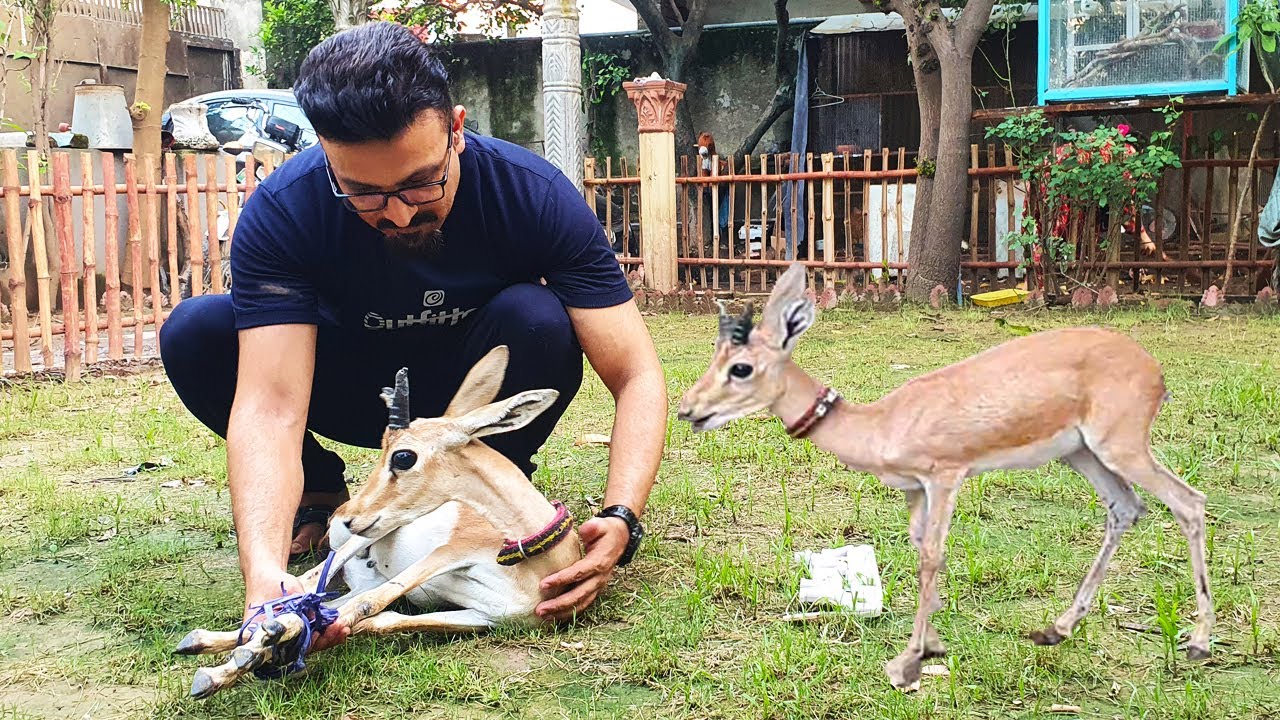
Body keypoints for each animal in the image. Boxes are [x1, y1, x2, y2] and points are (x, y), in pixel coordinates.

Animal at [172, 345, 584, 699]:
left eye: (403, 456)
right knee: (305, 586)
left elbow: (374, 616)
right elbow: (369, 604)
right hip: (366, 536)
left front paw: (267, 649)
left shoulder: (487, 617)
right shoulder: (451, 549)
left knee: (331, 597)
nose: (345, 517)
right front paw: (255, 651)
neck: (540, 559)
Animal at [677, 263, 1214, 691]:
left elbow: (931, 556)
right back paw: (1056, 629)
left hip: (1121, 445)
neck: (881, 423)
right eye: (714, 357)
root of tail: (1155, 370)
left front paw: (907, 664)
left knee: (1189, 501)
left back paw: (1198, 644)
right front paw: (929, 648)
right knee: (1127, 508)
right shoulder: (916, 490)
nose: (688, 410)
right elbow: (921, 550)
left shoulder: (946, 475)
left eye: (740, 367)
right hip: (1082, 454)